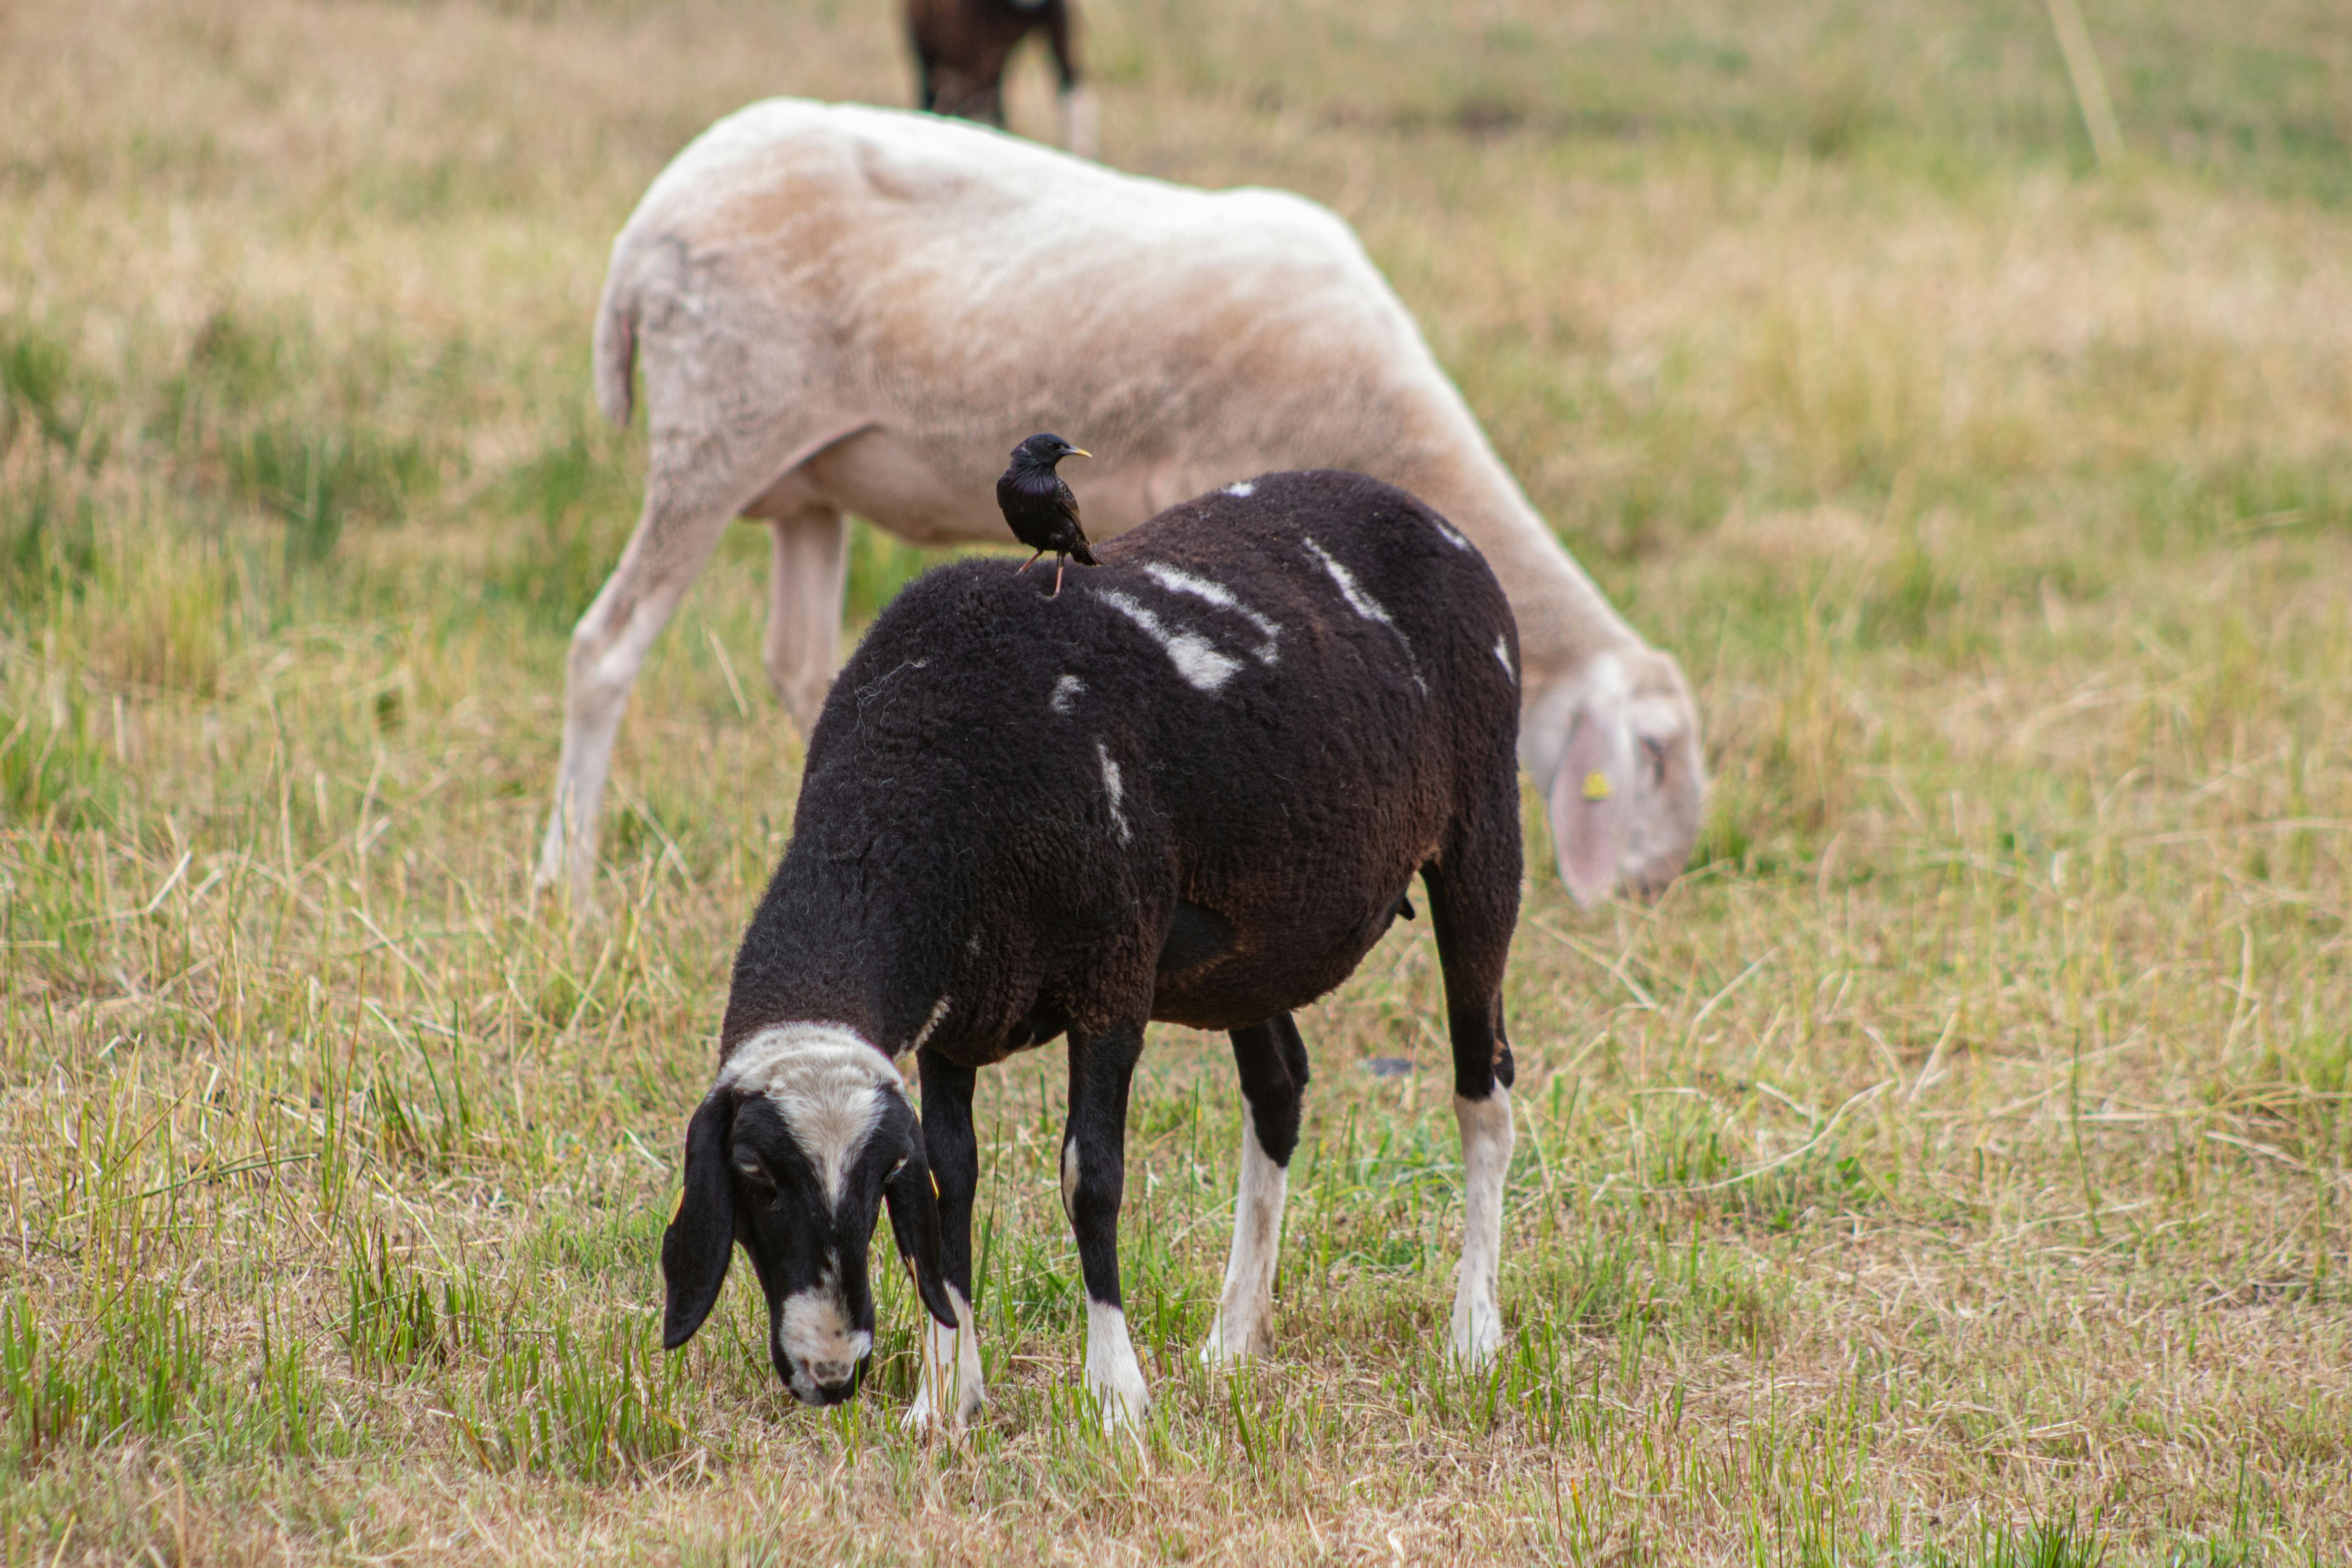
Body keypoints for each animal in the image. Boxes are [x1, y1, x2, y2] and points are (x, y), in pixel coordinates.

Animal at [537, 98, 1703, 914]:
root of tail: (648, 220)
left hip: (809, 484)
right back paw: (566, 880)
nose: (1651, 892)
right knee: (605, 648)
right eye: (1650, 755)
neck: (1391, 425)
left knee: (800, 667)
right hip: (719, 427)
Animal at [659, 470, 1524, 1430]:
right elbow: (954, 1178)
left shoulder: (1113, 980)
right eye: (755, 1177)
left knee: (1482, 1089)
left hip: (1482, 836)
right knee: (1278, 1091)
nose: (831, 1375)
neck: (919, 759)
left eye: (875, 1177)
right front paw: (946, 1399)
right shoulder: (954, 1016)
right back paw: (1234, 1338)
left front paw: (1115, 1394)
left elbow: (1091, 1177)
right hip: (1248, 952)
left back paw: (1472, 1335)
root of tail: (1420, 512)